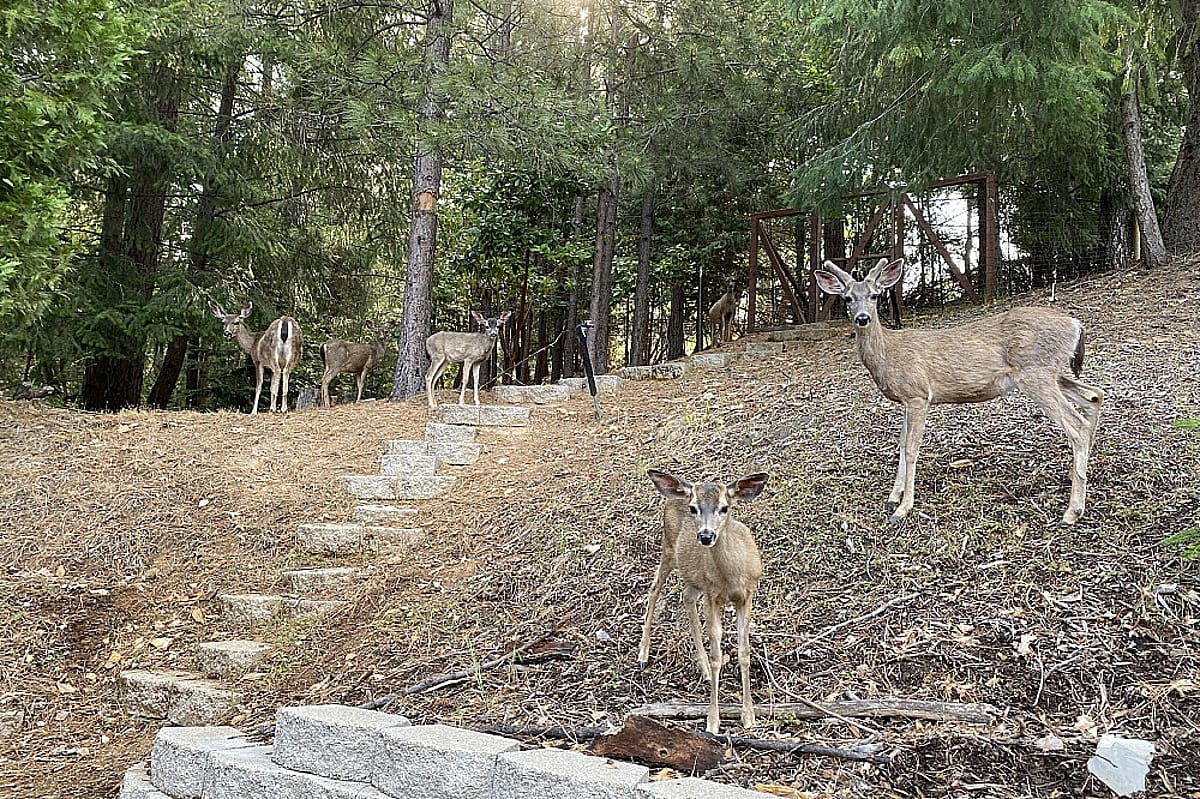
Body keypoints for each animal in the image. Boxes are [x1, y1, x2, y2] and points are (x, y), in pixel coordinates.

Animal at [639, 468, 770, 734]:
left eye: (724, 507)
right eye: (694, 508)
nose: (706, 536)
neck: (731, 578)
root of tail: (677, 493)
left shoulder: (747, 595)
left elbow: (744, 652)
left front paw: (748, 716)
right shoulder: (712, 596)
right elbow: (717, 656)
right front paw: (712, 721)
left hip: (693, 578)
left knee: (685, 596)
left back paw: (704, 670)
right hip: (668, 550)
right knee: (654, 588)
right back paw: (643, 655)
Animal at [814, 257, 1104, 525]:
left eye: (875, 295)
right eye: (847, 298)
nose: (862, 318)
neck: (889, 354)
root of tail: (1076, 324)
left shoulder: (918, 394)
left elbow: (911, 449)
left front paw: (903, 508)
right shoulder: (907, 399)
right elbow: (901, 445)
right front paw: (893, 497)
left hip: (1036, 373)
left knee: (1076, 423)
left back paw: (1072, 511)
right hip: (1049, 373)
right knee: (1094, 395)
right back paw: (1077, 476)